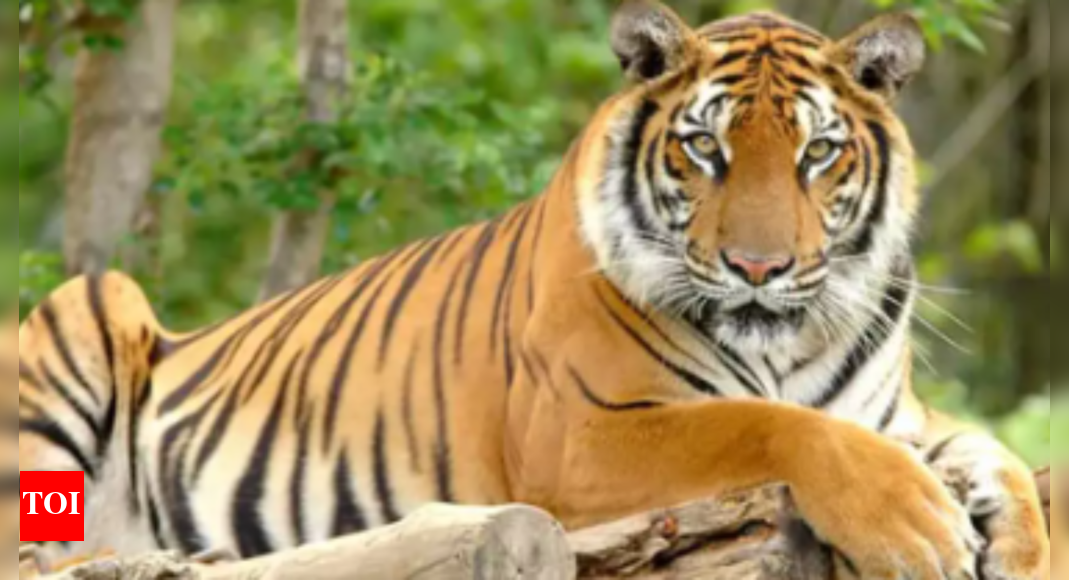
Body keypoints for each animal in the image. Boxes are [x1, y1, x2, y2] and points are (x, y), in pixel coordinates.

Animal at [17, 2, 1049, 578]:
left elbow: (997, 457)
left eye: (816, 154)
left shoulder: (896, 419)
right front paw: (916, 529)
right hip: (83, 313)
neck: (783, 342)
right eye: (704, 148)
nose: (758, 269)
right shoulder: (584, 432)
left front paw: (1021, 549)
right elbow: (768, 423)